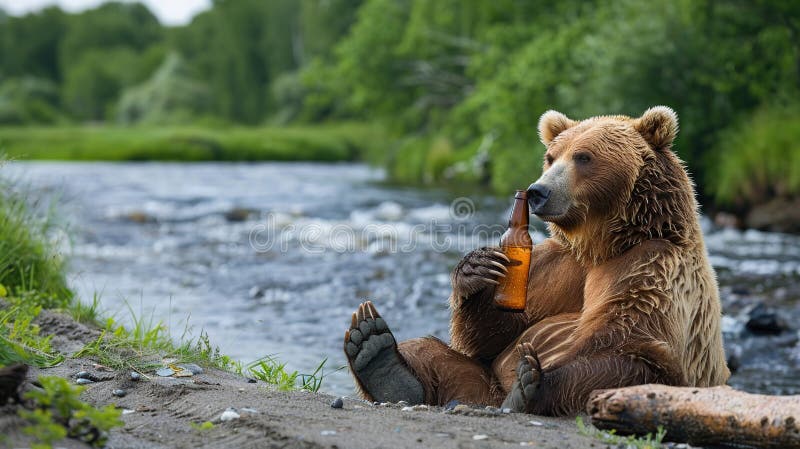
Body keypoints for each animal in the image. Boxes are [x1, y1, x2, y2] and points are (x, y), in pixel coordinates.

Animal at [342, 106, 730, 415]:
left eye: (584, 157)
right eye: (551, 156)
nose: (538, 191)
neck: (600, 246)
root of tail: (486, 401)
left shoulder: (651, 267)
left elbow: (628, 341)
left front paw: (537, 380)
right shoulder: (554, 267)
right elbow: (494, 335)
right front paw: (475, 269)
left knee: (629, 369)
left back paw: (523, 388)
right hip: (481, 383)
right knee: (431, 352)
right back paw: (378, 356)